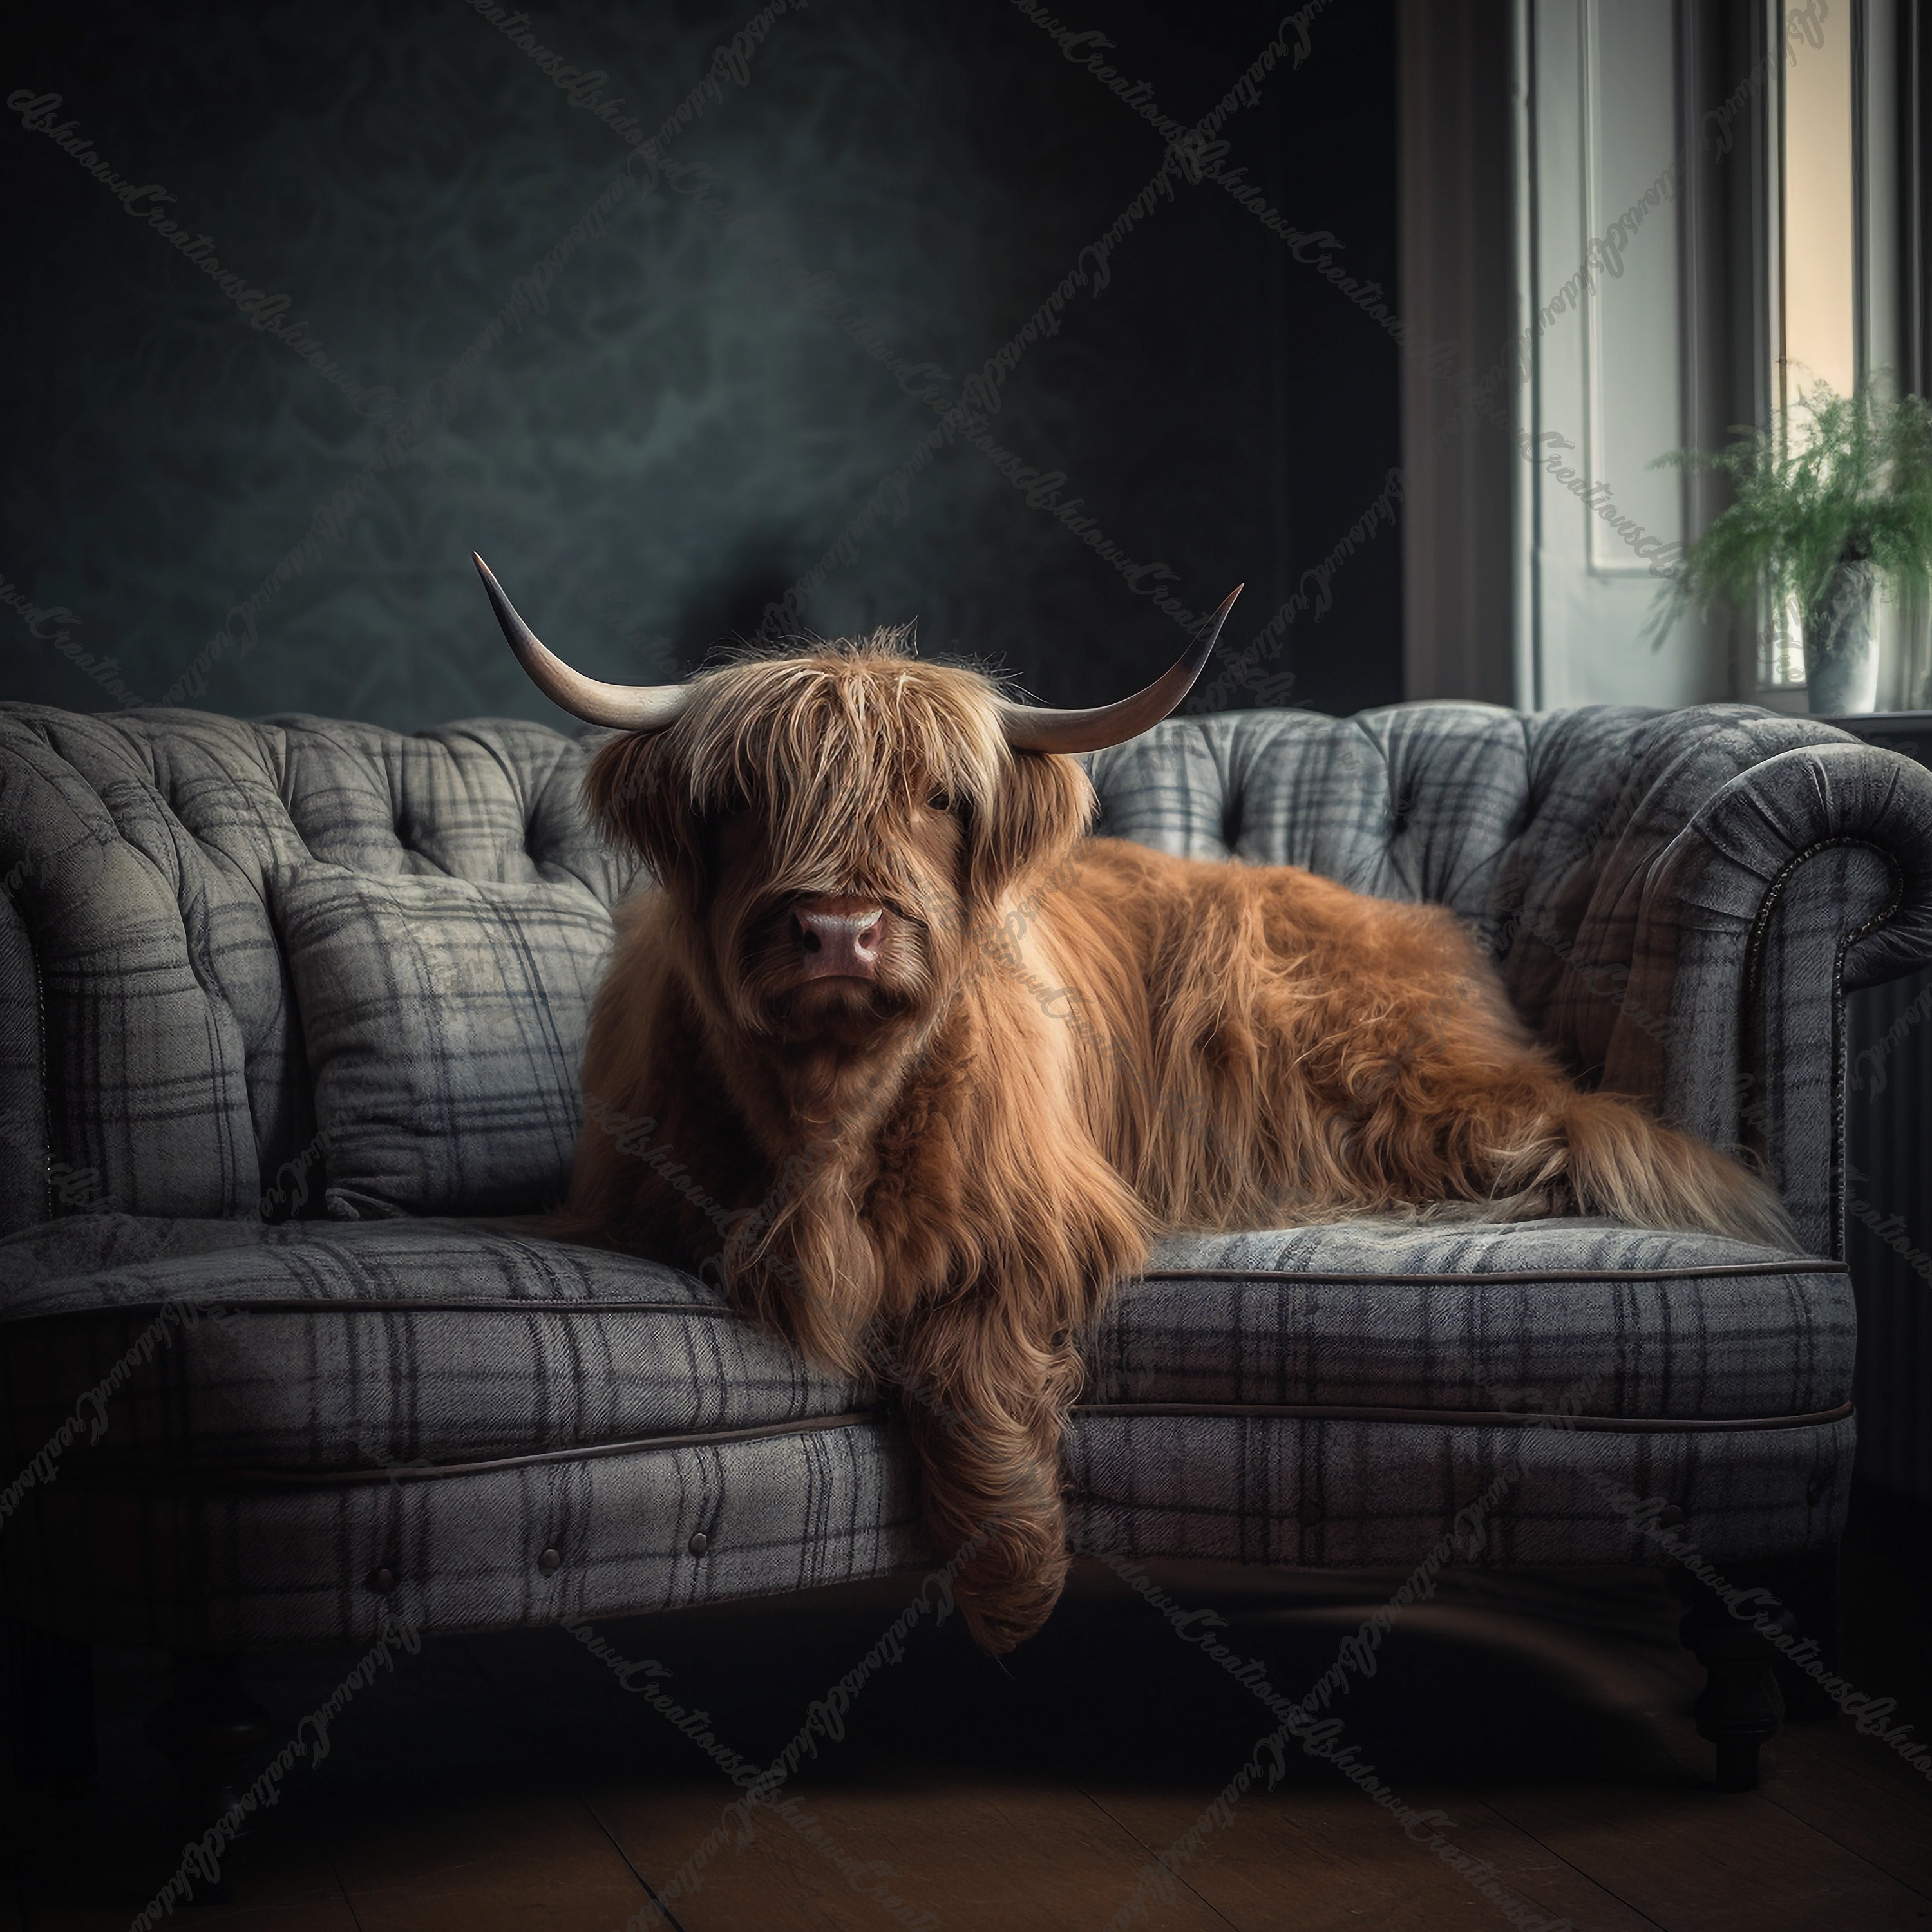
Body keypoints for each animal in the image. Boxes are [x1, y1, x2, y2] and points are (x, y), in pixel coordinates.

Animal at [473, 554, 1791, 1653]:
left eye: (940, 797)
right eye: (742, 797)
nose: (840, 930)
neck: (836, 1120)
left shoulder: (1044, 1220)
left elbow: (970, 1361)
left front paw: (1010, 1584)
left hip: (1402, 1080)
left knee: (1573, 1132)